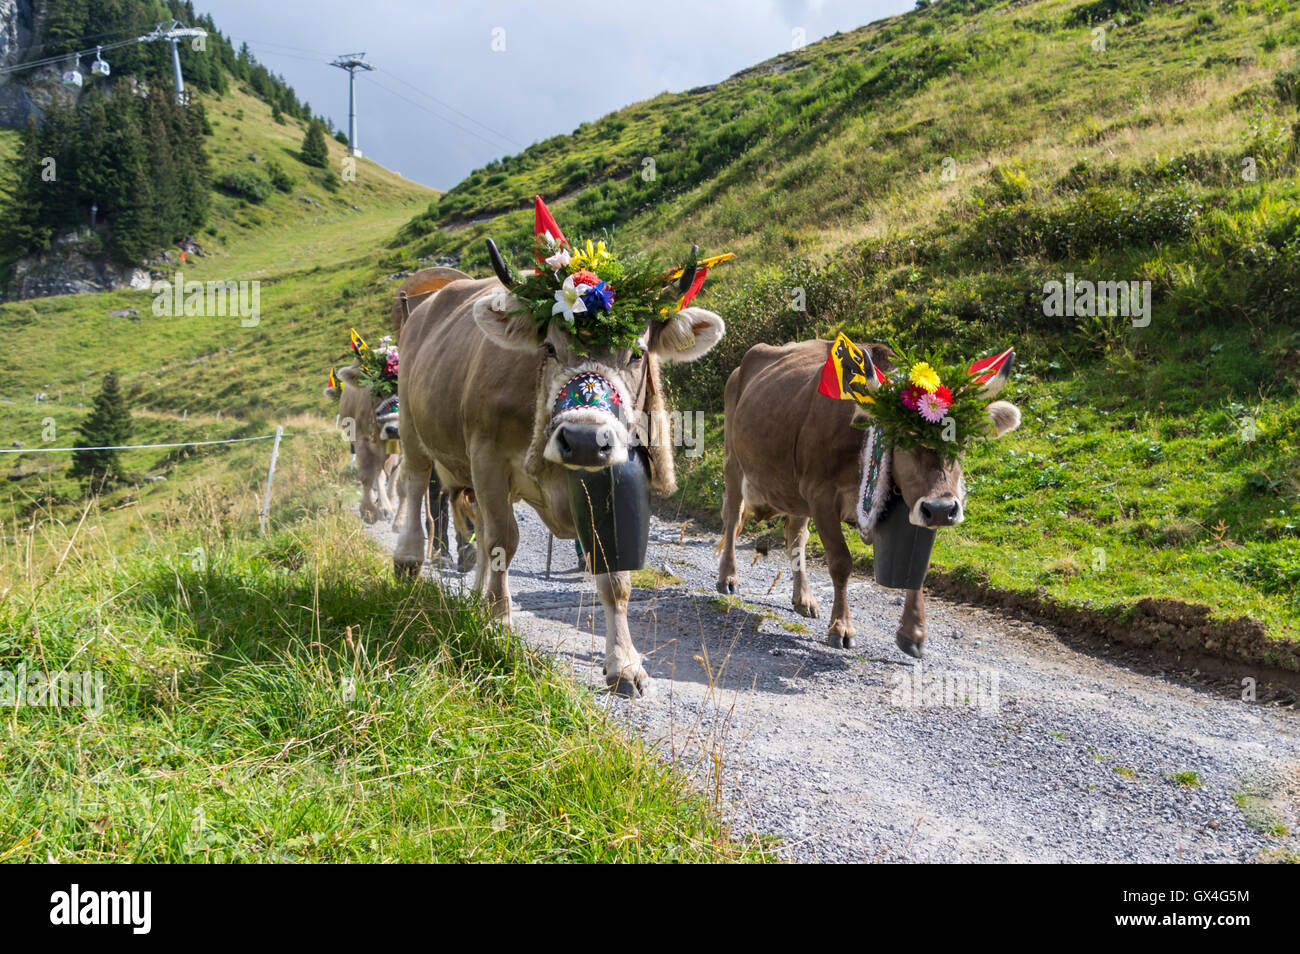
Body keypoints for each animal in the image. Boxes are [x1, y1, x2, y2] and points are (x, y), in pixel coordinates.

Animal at [392, 260, 725, 696]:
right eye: (549, 348)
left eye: (638, 353)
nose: (584, 439)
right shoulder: (487, 456)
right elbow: (503, 541)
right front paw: (498, 627)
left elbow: (612, 570)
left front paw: (624, 663)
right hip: (412, 426)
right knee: (416, 485)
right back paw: (409, 560)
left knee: (476, 526)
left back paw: (476, 597)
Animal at [716, 339, 1021, 658]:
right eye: (905, 437)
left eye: (963, 441)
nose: (941, 509)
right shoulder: (821, 495)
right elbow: (840, 562)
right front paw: (841, 627)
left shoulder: (914, 505)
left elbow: (917, 570)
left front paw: (913, 632)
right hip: (733, 462)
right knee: (732, 519)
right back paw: (728, 578)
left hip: (794, 489)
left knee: (796, 535)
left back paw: (804, 598)